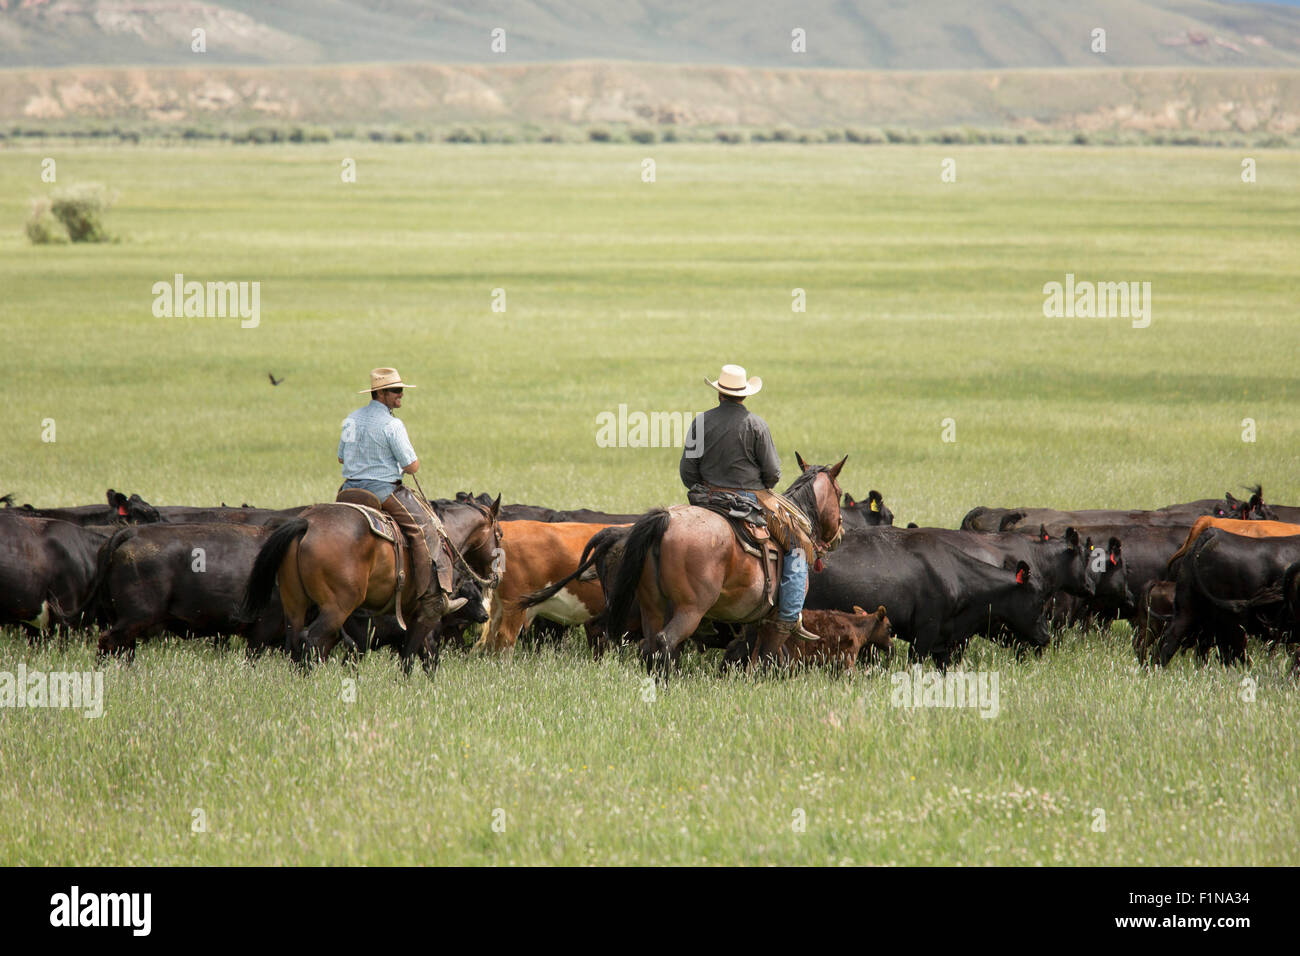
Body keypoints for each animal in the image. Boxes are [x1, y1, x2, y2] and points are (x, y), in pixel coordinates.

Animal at [236, 489, 499, 671]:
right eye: (499, 533)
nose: (495, 576)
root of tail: (307, 525)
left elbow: (423, 654)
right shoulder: (427, 613)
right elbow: (413, 654)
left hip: (295, 603)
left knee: (294, 643)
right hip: (337, 607)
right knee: (311, 641)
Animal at [603, 455, 847, 671]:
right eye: (840, 493)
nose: (841, 533)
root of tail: (667, 520)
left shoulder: (755, 618)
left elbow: (746, 651)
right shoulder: (777, 619)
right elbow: (768, 655)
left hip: (652, 606)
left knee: (650, 645)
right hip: (690, 609)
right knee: (665, 641)